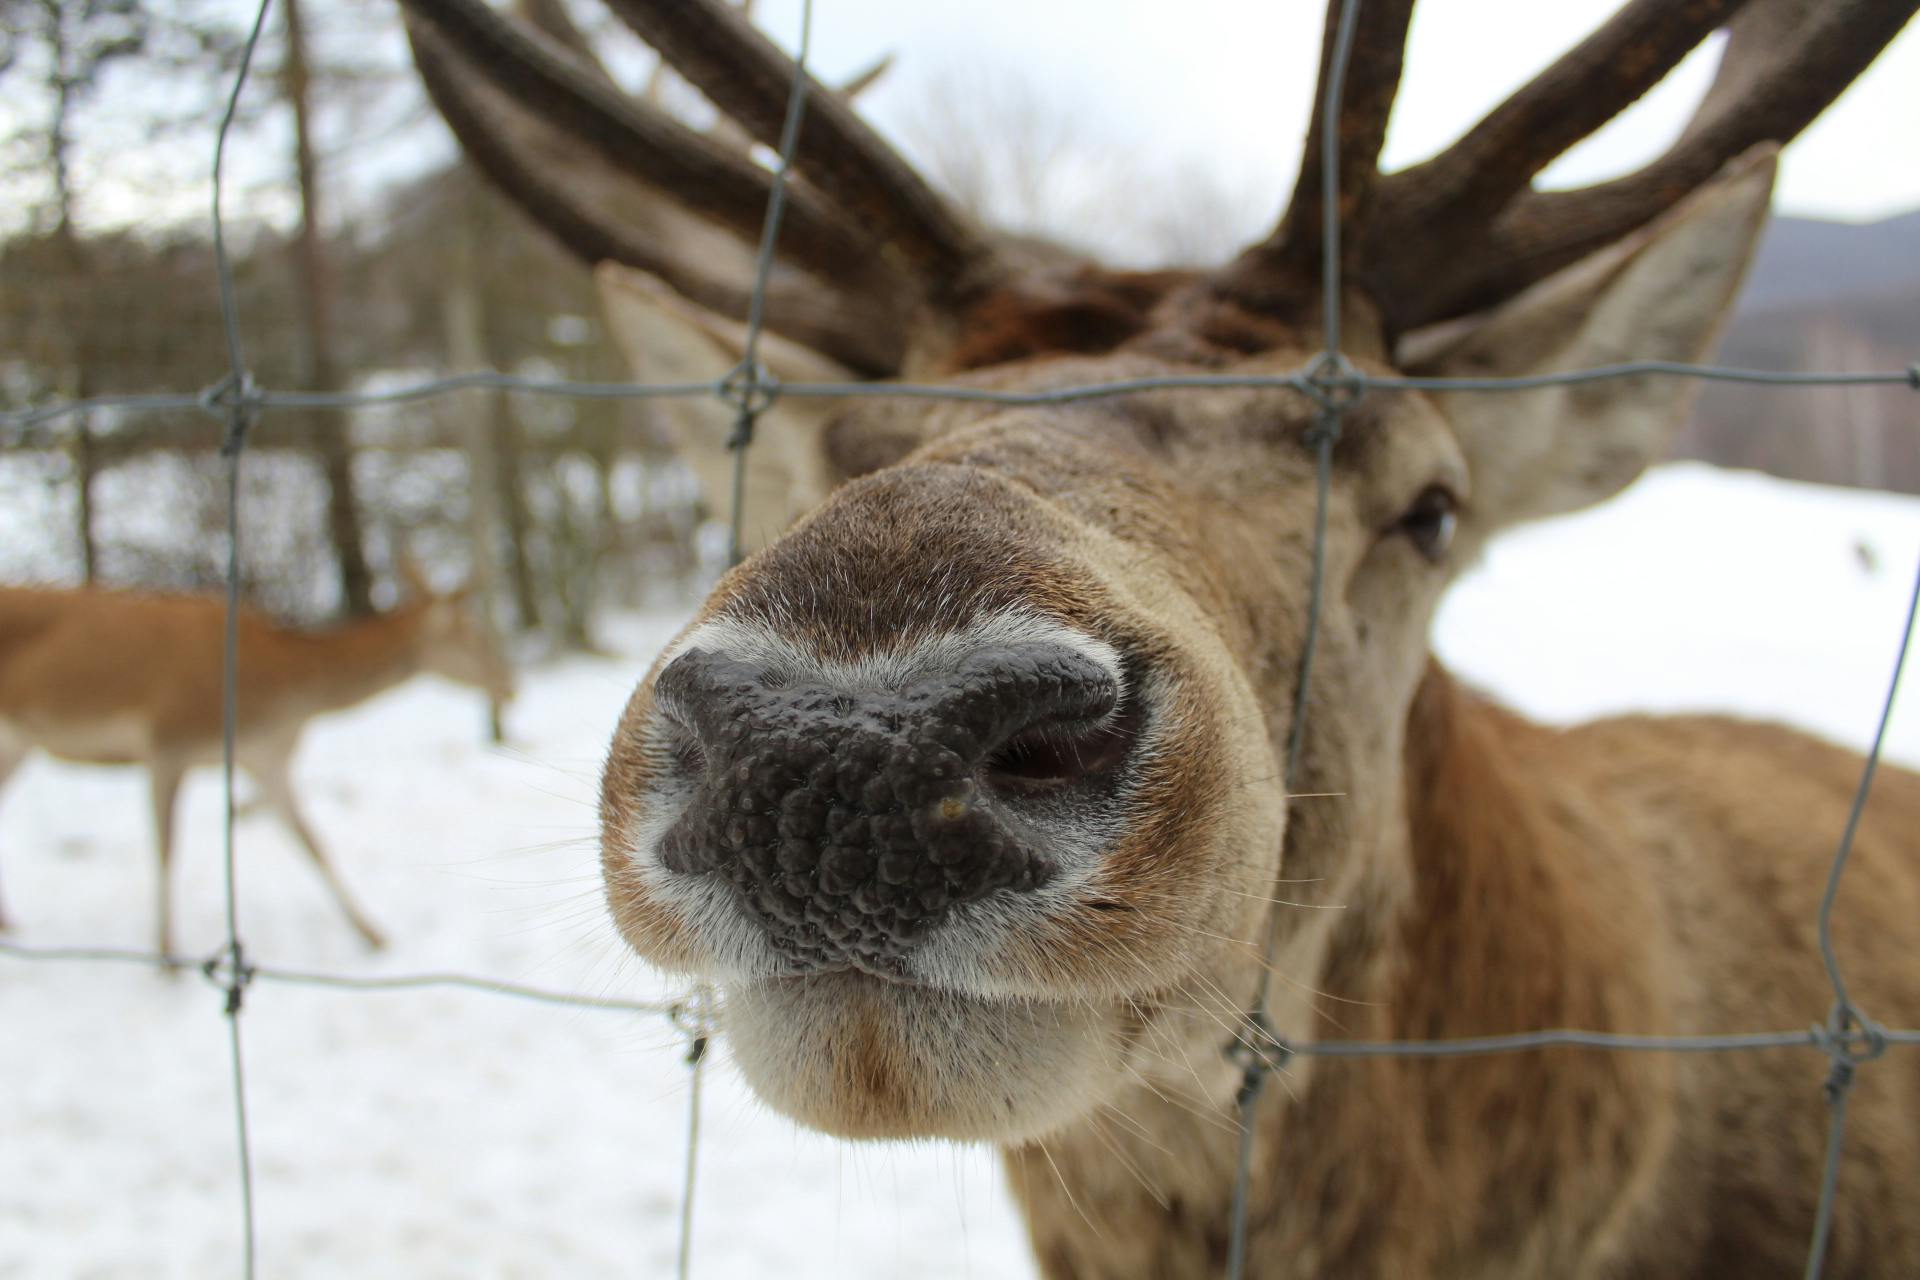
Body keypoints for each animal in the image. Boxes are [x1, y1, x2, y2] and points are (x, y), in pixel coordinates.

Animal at [0, 566, 515, 956]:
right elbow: (166, 849)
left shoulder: (266, 759)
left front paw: (372, 932)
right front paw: (166, 955)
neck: (277, 694)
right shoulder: (168, 742)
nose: (509, 683)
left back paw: (9, 923)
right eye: (472, 634)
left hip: (17, 746)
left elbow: (312, 842)